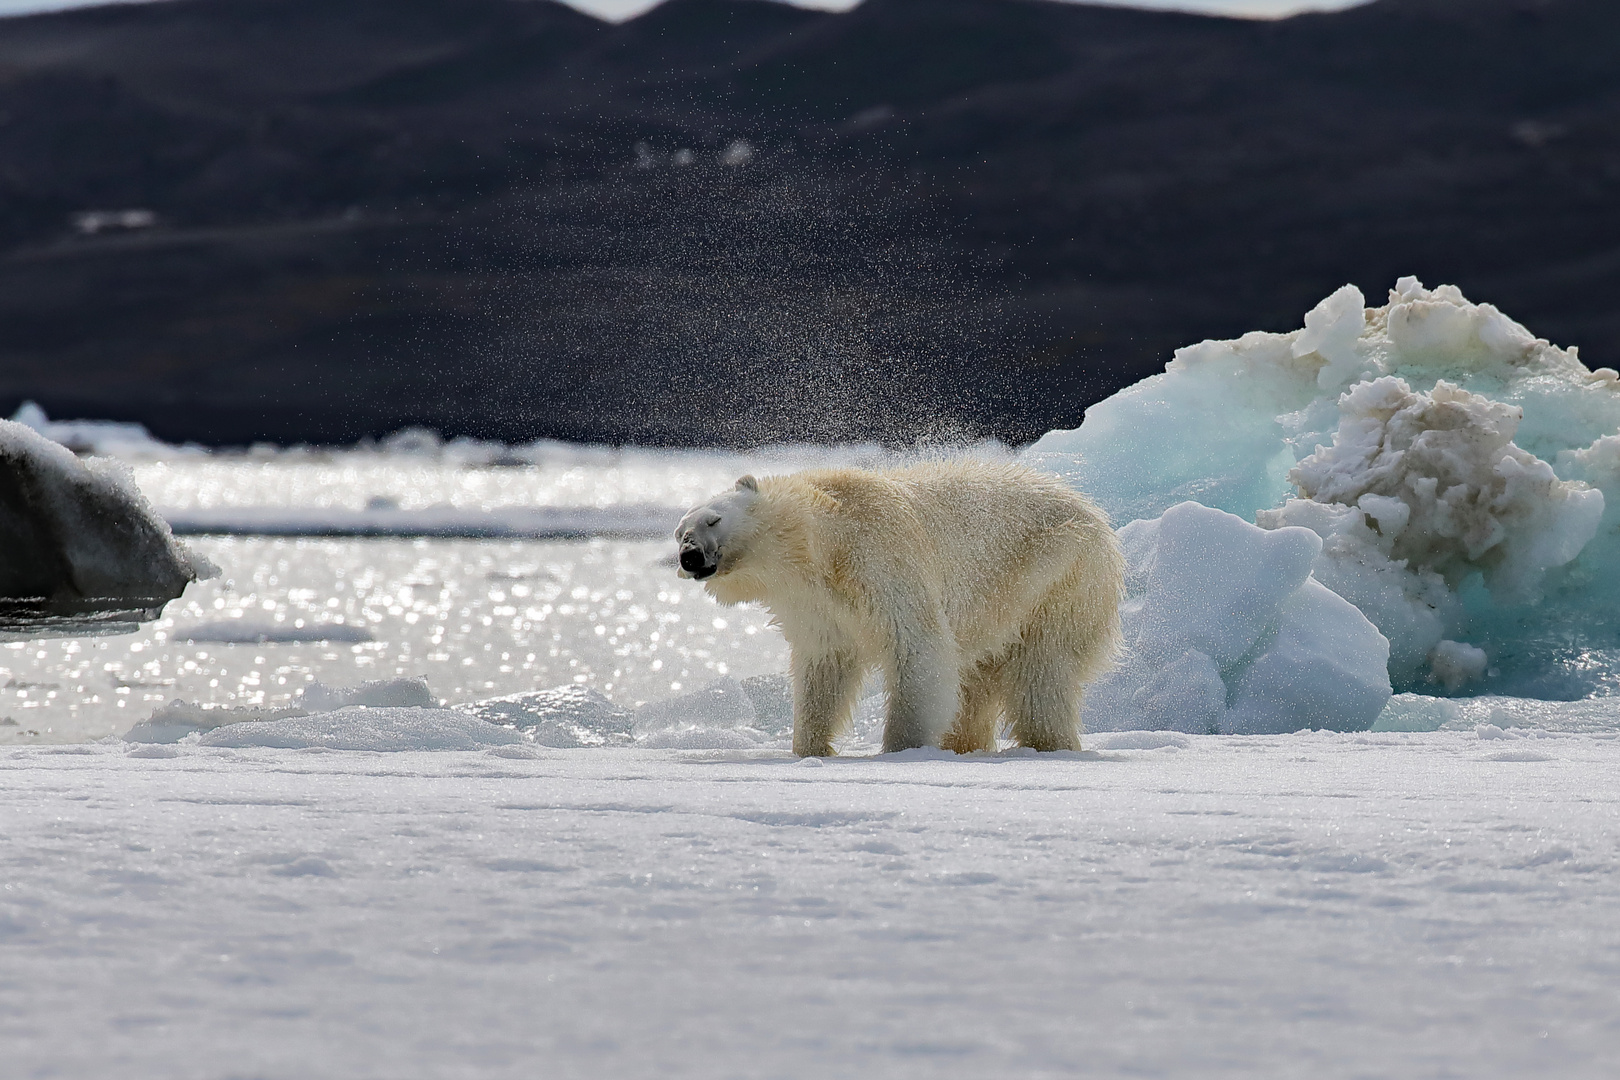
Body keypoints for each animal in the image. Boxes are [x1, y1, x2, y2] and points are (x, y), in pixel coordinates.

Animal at [677, 459, 1121, 757]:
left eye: (713, 520)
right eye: (680, 531)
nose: (689, 556)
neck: (822, 544)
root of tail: (1096, 516)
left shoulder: (880, 558)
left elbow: (917, 646)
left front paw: (900, 749)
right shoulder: (813, 603)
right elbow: (826, 664)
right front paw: (809, 746)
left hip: (1058, 579)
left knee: (1041, 672)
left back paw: (1049, 743)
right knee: (978, 679)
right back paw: (964, 744)